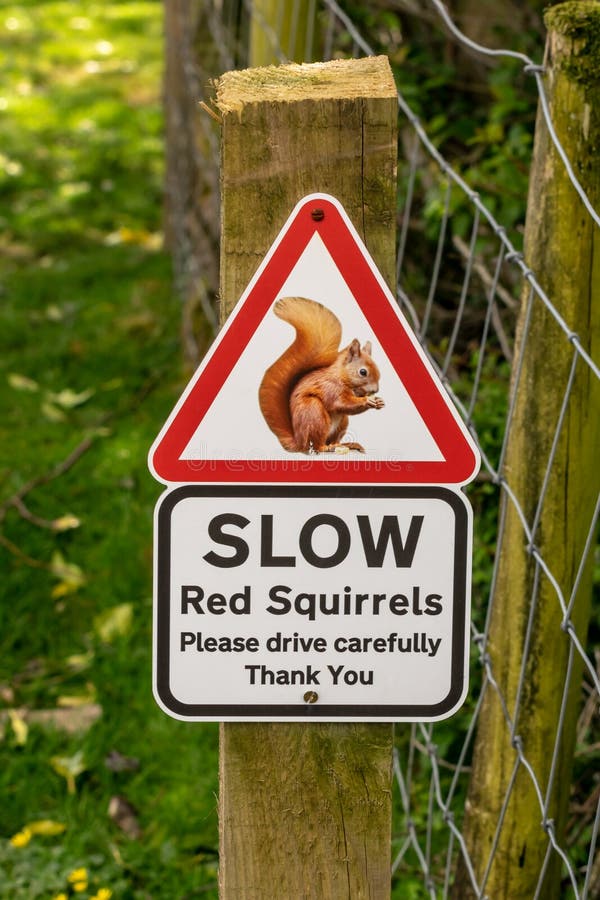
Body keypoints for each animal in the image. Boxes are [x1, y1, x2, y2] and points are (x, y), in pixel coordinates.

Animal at [258, 296, 384, 454]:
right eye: (363, 372)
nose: (375, 390)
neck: (341, 375)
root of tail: (299, 443)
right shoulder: (331, 387)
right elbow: (341, 403)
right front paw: (367, 401)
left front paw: (378, 401)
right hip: (315, 413)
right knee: (317, 444)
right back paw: (326, 447)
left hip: (342, 423)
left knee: (335, 439)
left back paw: (346, 445)